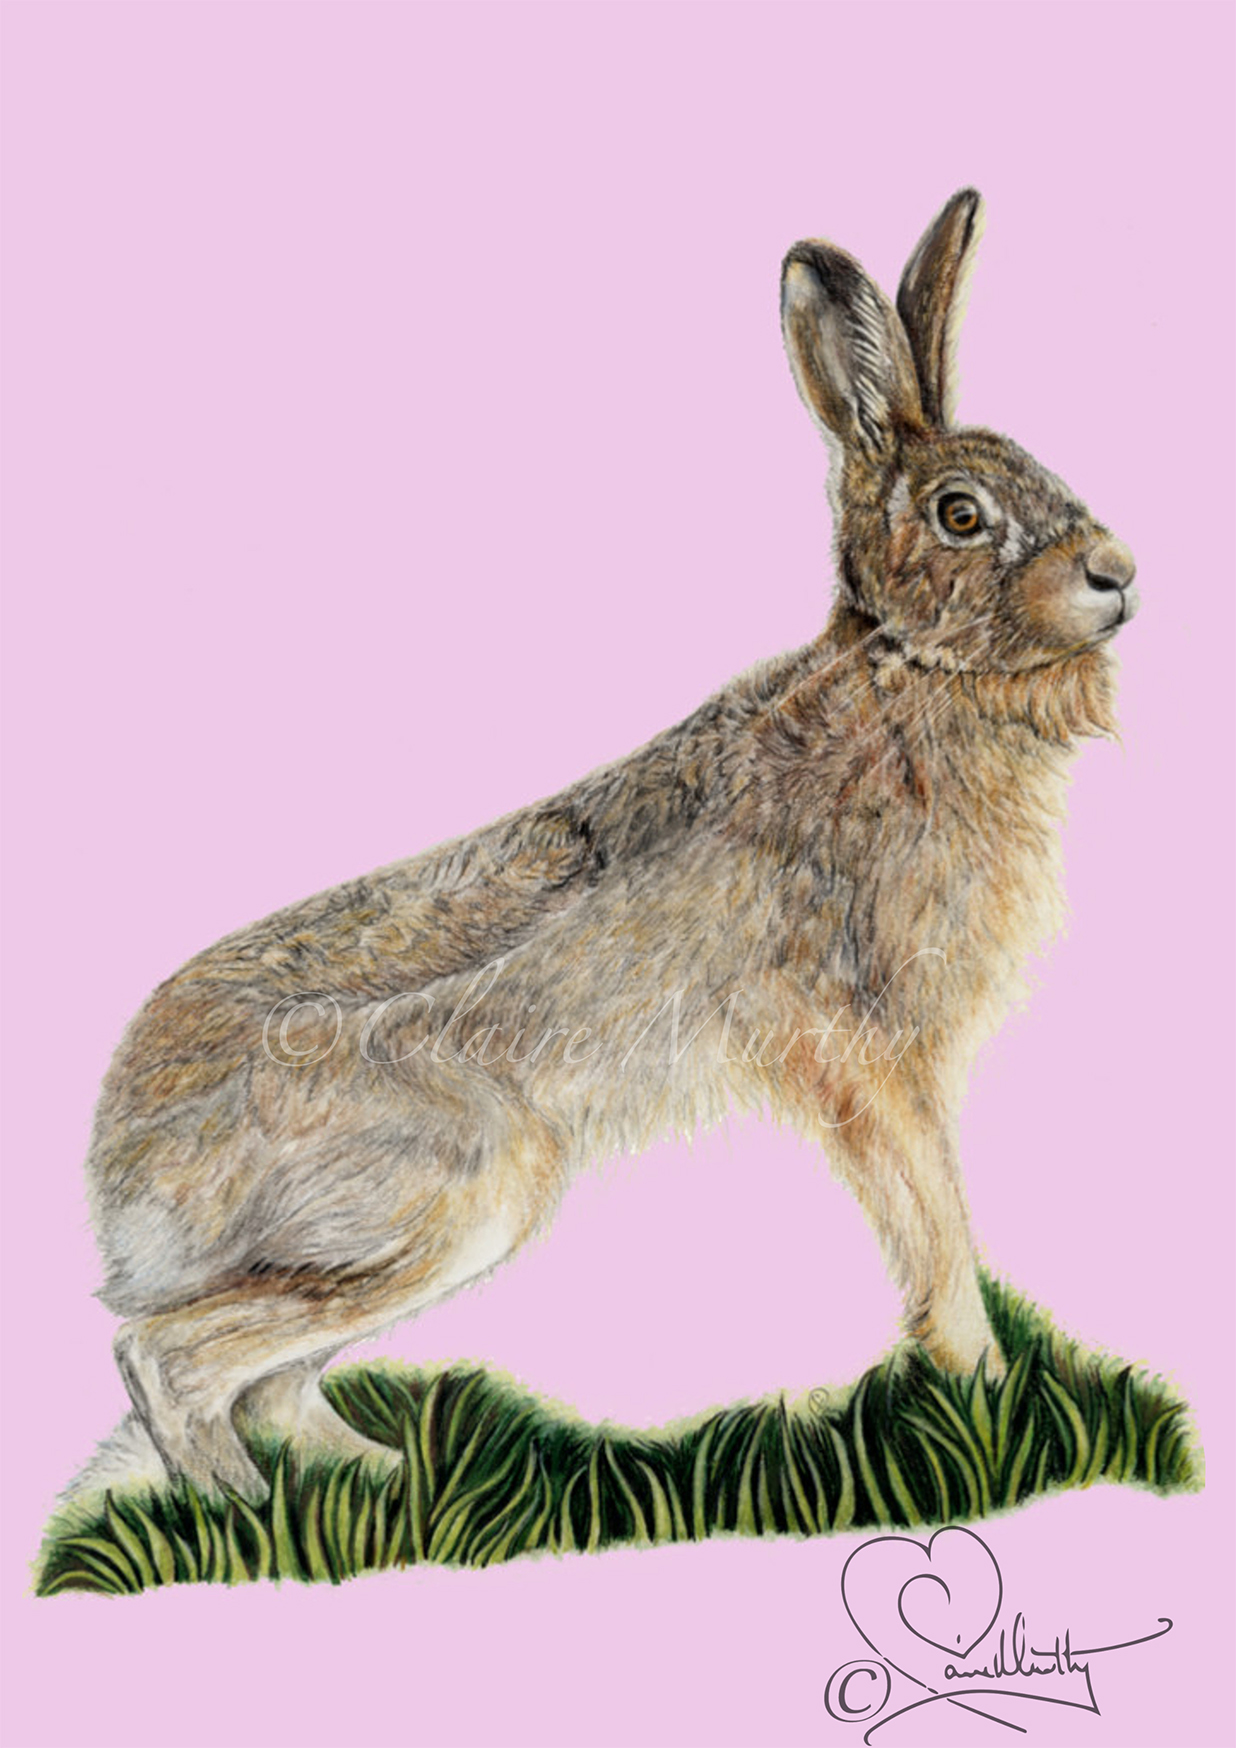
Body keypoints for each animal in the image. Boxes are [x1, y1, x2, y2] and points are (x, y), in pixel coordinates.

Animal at [85, 189, 1138, 1501]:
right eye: (961, 514)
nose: (1118, 573)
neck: (912, 675)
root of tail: (117, 1180)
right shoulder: (866, 1050)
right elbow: (933, 1212)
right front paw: (985, 1375)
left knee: (271, 1379)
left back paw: (379, 1473)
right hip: (461, 1189)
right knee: (169, 1355)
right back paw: (246, 1505)